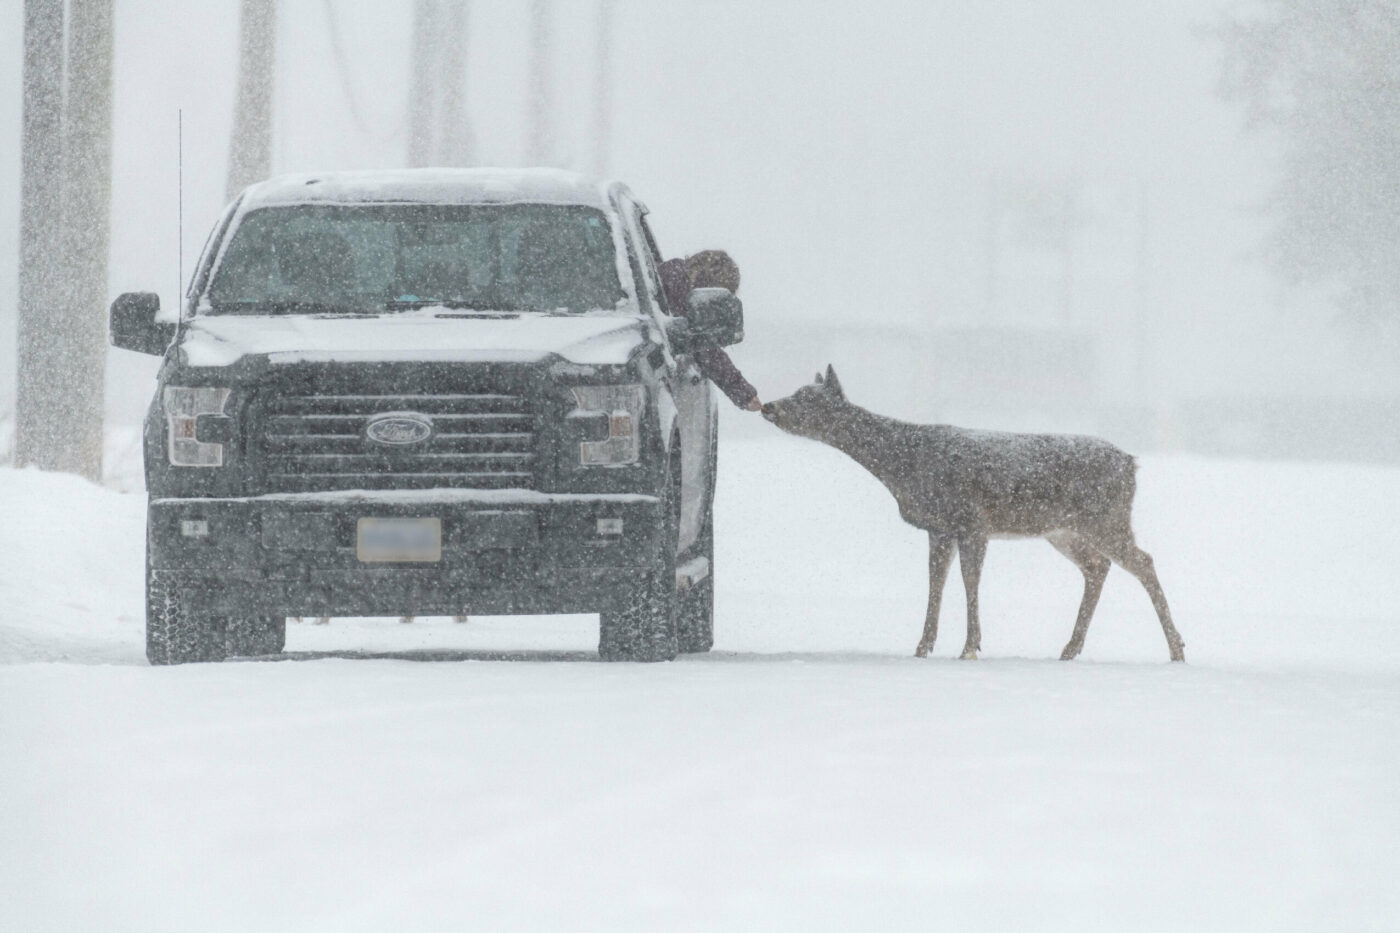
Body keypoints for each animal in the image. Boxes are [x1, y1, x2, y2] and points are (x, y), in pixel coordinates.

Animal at [761, 366, 1185, 662]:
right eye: (798, 392)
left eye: (807, 398)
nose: (768, 406)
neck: (904, 464)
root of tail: (1131, 464)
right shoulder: (939, 527)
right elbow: (936, 582)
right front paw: (922, 646)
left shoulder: (970, 519)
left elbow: (968, 581)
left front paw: (969, 647)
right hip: (1064, 530)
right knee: (1098, 566)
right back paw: (1070, 648)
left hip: (1104, 517)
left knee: (1143, 561)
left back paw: (1176, 648)